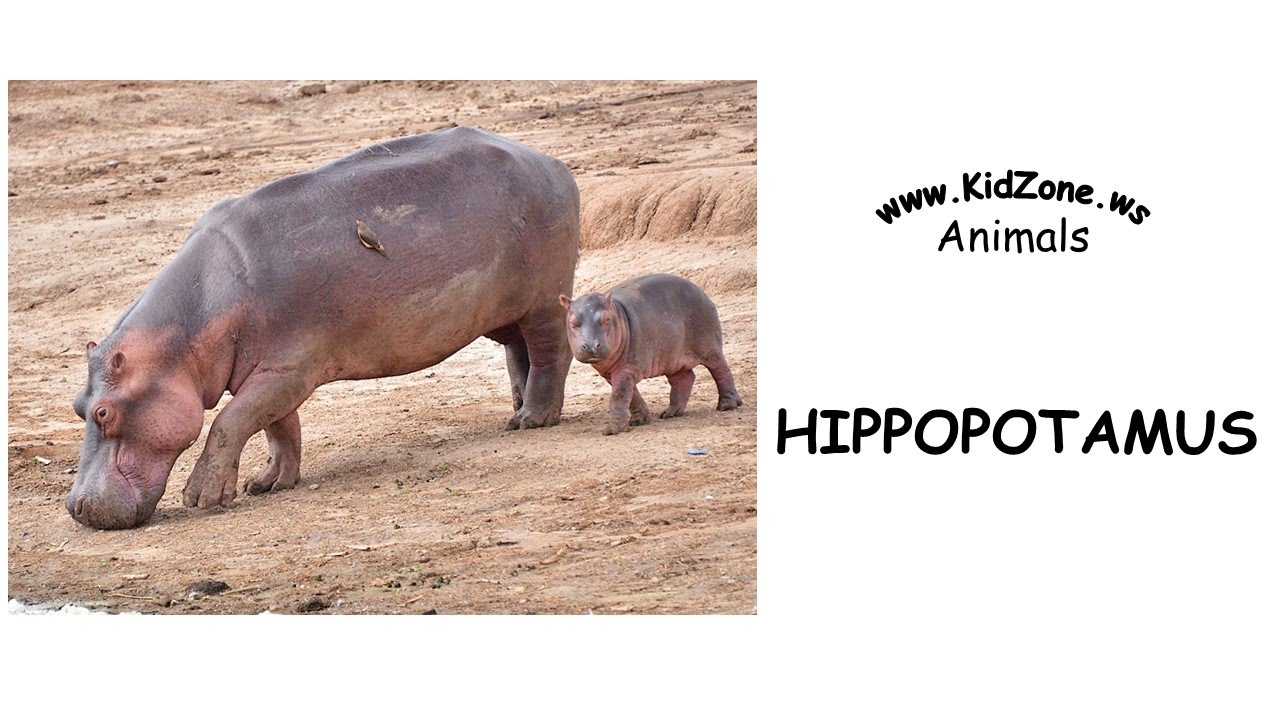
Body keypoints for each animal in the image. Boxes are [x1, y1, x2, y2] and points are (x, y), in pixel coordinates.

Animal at [67, 127, 579, 530]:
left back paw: (534, 419)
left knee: (550, 353)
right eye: (77, 406)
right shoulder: (272, 373)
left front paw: (202, 497)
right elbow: (277, 427)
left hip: (545, 301)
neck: (181, 340)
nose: (75, 507)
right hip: (505, 314)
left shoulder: (285, 370)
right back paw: (515, 414)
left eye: (104, 413)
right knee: (519, 354)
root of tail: (550, 161)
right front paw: (268, 483)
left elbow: (230, 423)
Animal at [560, 274, 743, 435]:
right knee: (684, 378)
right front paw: (639, 420)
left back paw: (727, 405)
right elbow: (632, 395)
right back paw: (670, 413)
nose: (591, 345)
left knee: (721, 370)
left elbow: (618, 397)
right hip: (673, 358)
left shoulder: (626, 368)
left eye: (606, 319)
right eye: (572, 322)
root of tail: (701, 291)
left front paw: (612, 431)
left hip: (709, 347)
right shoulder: (612, 372)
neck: (617, 314)